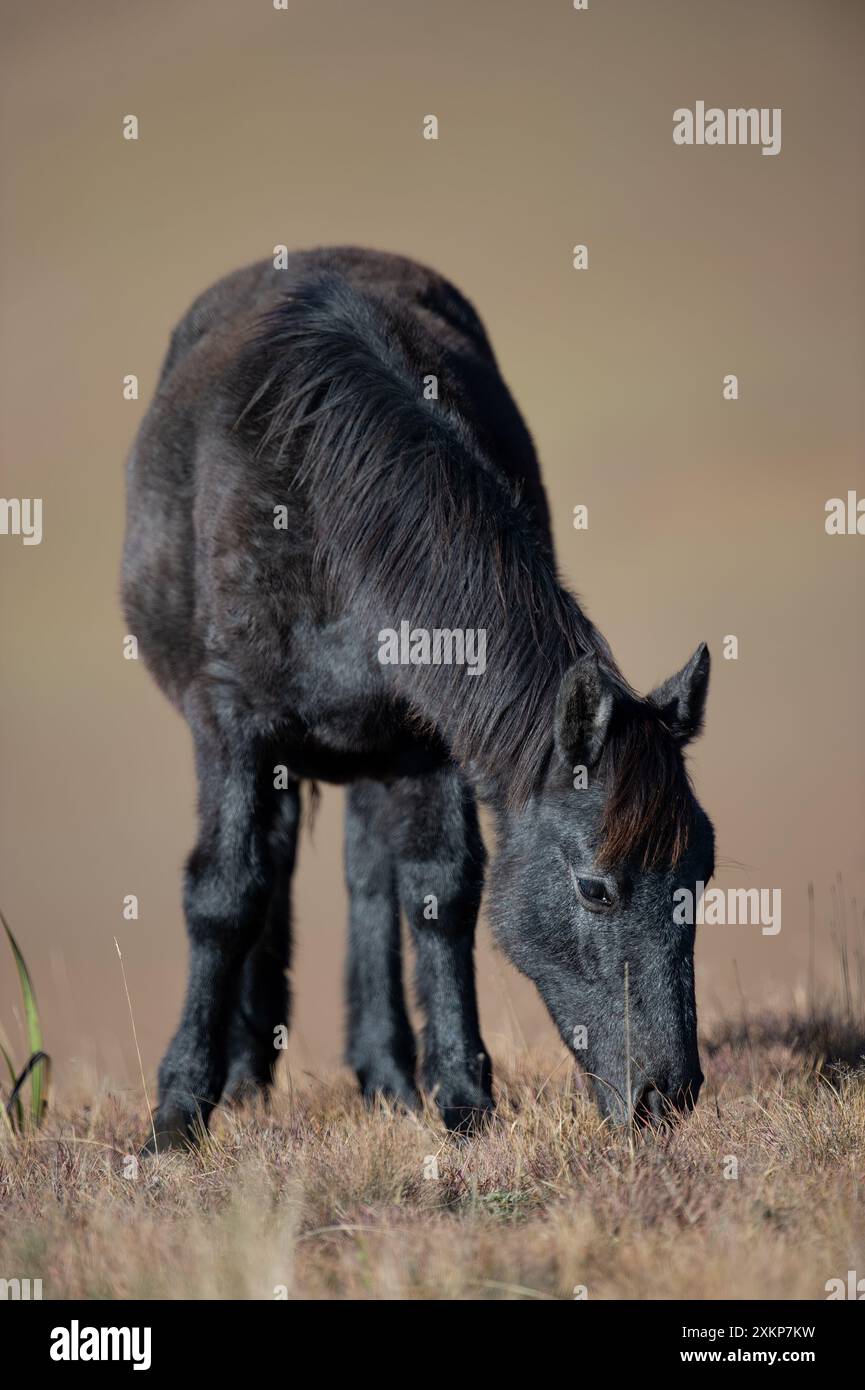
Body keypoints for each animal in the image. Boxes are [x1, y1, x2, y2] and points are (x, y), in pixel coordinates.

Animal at [122, 247, 714, 1150]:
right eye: (594, 888)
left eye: (701, 875)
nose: (666, 1095)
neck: (318, 504)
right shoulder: (230, 725)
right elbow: (224, 893)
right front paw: (179, 1110)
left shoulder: (423, 741)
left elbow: (440, 893)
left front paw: (463, 1100)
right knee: (272, 868)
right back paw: (246, 1074)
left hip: (369, 755)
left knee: (369, 879)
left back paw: (386, 1077)